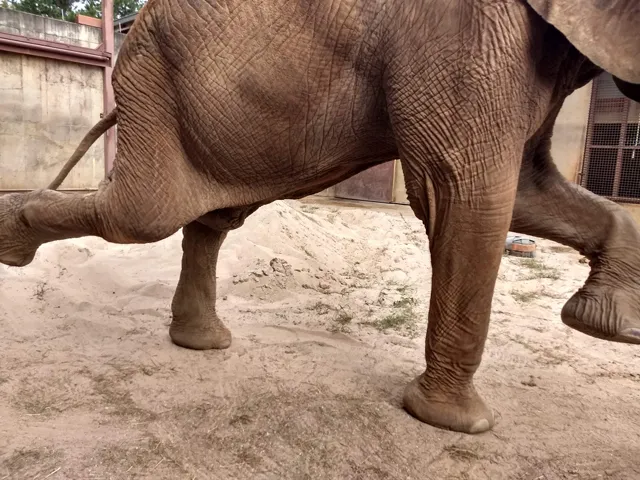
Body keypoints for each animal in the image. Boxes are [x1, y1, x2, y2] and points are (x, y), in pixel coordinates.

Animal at [0, 0, 639, 435]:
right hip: (154, 76)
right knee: (144, 214)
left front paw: (609, 325)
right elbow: (465, 194)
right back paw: (11, 241)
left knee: (212, 214)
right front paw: (457, 424)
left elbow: (528, 187)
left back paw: (202, 343)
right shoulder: (466, 34)